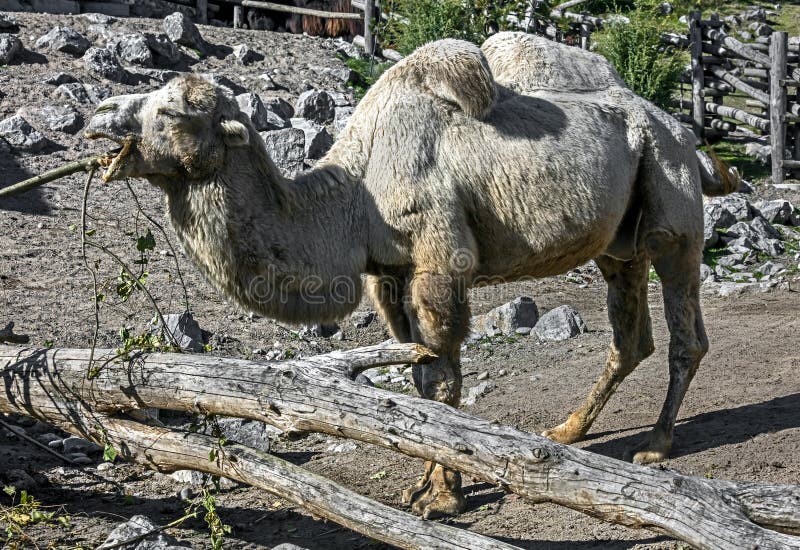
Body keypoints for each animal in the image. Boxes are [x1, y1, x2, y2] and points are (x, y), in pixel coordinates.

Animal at [85, 33, 737, 518]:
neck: (357, 195)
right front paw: (425, 484)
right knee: (630, 335)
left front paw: (443, 497)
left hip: (672, 207)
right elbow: (421, 379)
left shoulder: (438, 261)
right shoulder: (389, 275)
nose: (97, 115)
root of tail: (686, 134)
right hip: (618, 245)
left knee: (685, 328)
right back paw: (567, 431)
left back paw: (655, 446)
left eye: (173, 110)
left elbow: (443, 382)